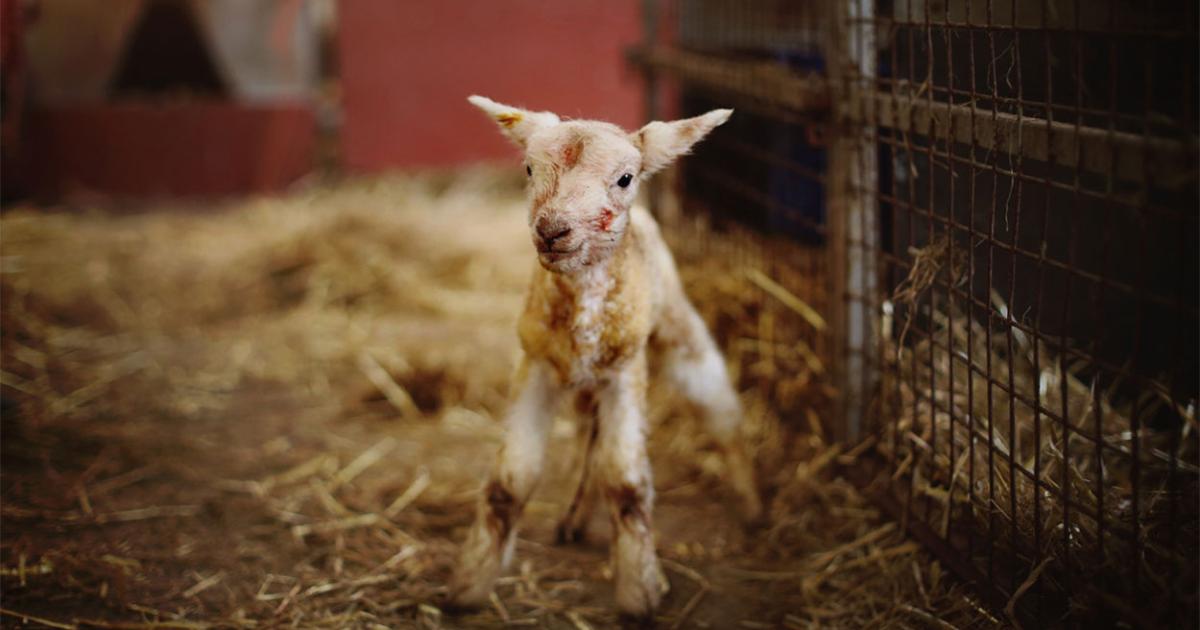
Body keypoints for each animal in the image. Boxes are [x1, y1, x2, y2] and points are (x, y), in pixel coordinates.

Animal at [448, 95, 762, 618]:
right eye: (529, 168)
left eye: (625, 178)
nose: (552, 230)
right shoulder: (535, 365)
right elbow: (511, 480)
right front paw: (469, 586)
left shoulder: (625, 373)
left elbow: (626, 482)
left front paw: (641, 593)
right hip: (582, 384)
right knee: (586, 438)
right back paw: (574, 518)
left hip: (677, 329)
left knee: (720, 411)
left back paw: (751, 505)